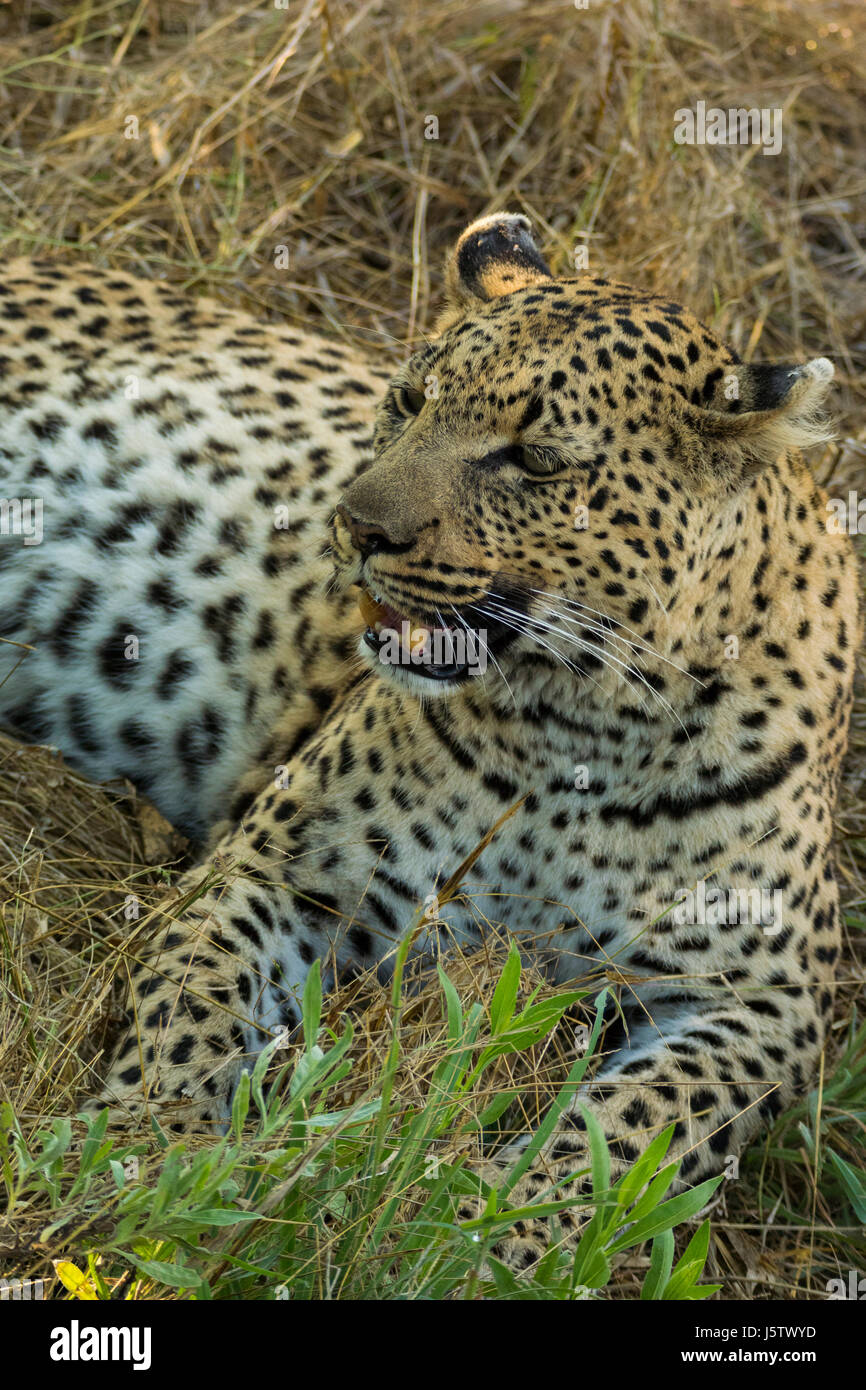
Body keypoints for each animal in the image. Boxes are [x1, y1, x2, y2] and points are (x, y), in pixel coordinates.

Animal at [0, 214, 858, 1271]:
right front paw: (150, 1153)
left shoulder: (762, 1004)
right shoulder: (285, 867)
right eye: (409, 401)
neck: (583, 732)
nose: (355, 527)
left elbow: (629, 1133)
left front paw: (492, 1237)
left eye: (536, 461)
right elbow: (195, 1003)